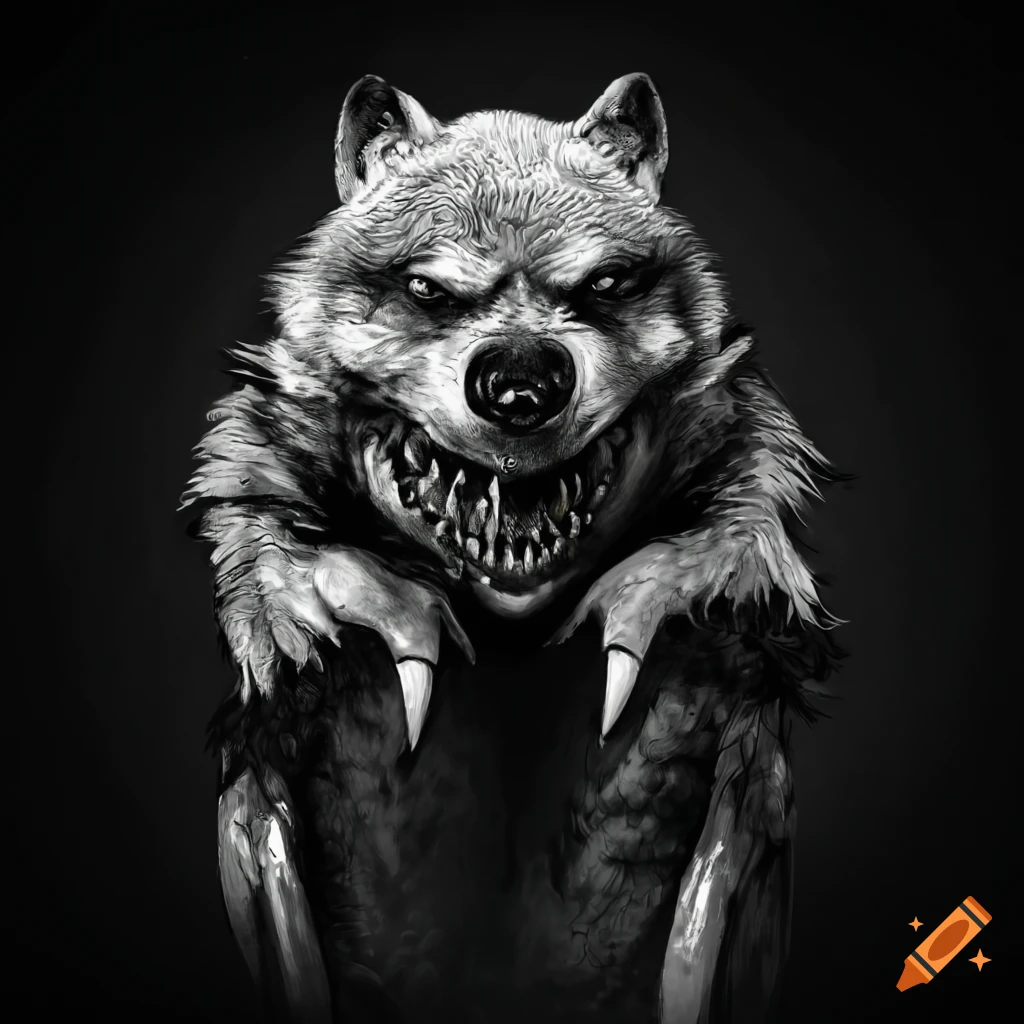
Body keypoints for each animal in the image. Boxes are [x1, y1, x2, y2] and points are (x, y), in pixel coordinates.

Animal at [181, 72, 844, 1024]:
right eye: (428, 289)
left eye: (606, 283)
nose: (522, 383)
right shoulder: (252, 794)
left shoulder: (752, 789)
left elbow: (729, 535)